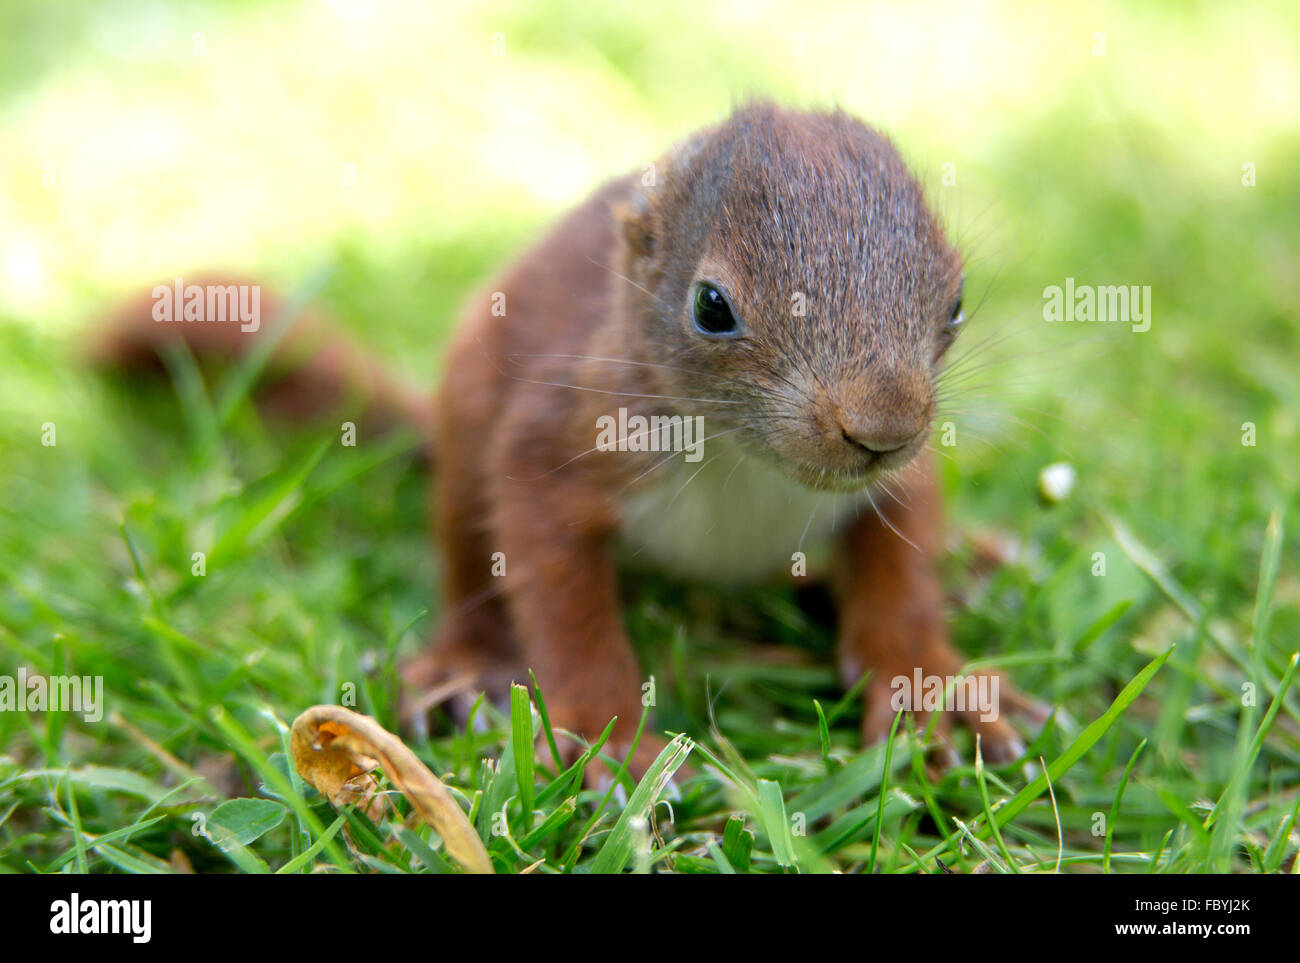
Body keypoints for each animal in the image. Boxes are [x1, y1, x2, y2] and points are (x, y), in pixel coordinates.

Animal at [98, 102, 1044, 774]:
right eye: (711, 307)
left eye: (957, 300)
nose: (882, 427)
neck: (745, 462)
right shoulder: (564, 440)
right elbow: (562, 597)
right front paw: (610, 742)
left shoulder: (899, 481)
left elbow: (901, 570)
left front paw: (930, 687)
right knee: (468, 554)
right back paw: (466, 658)